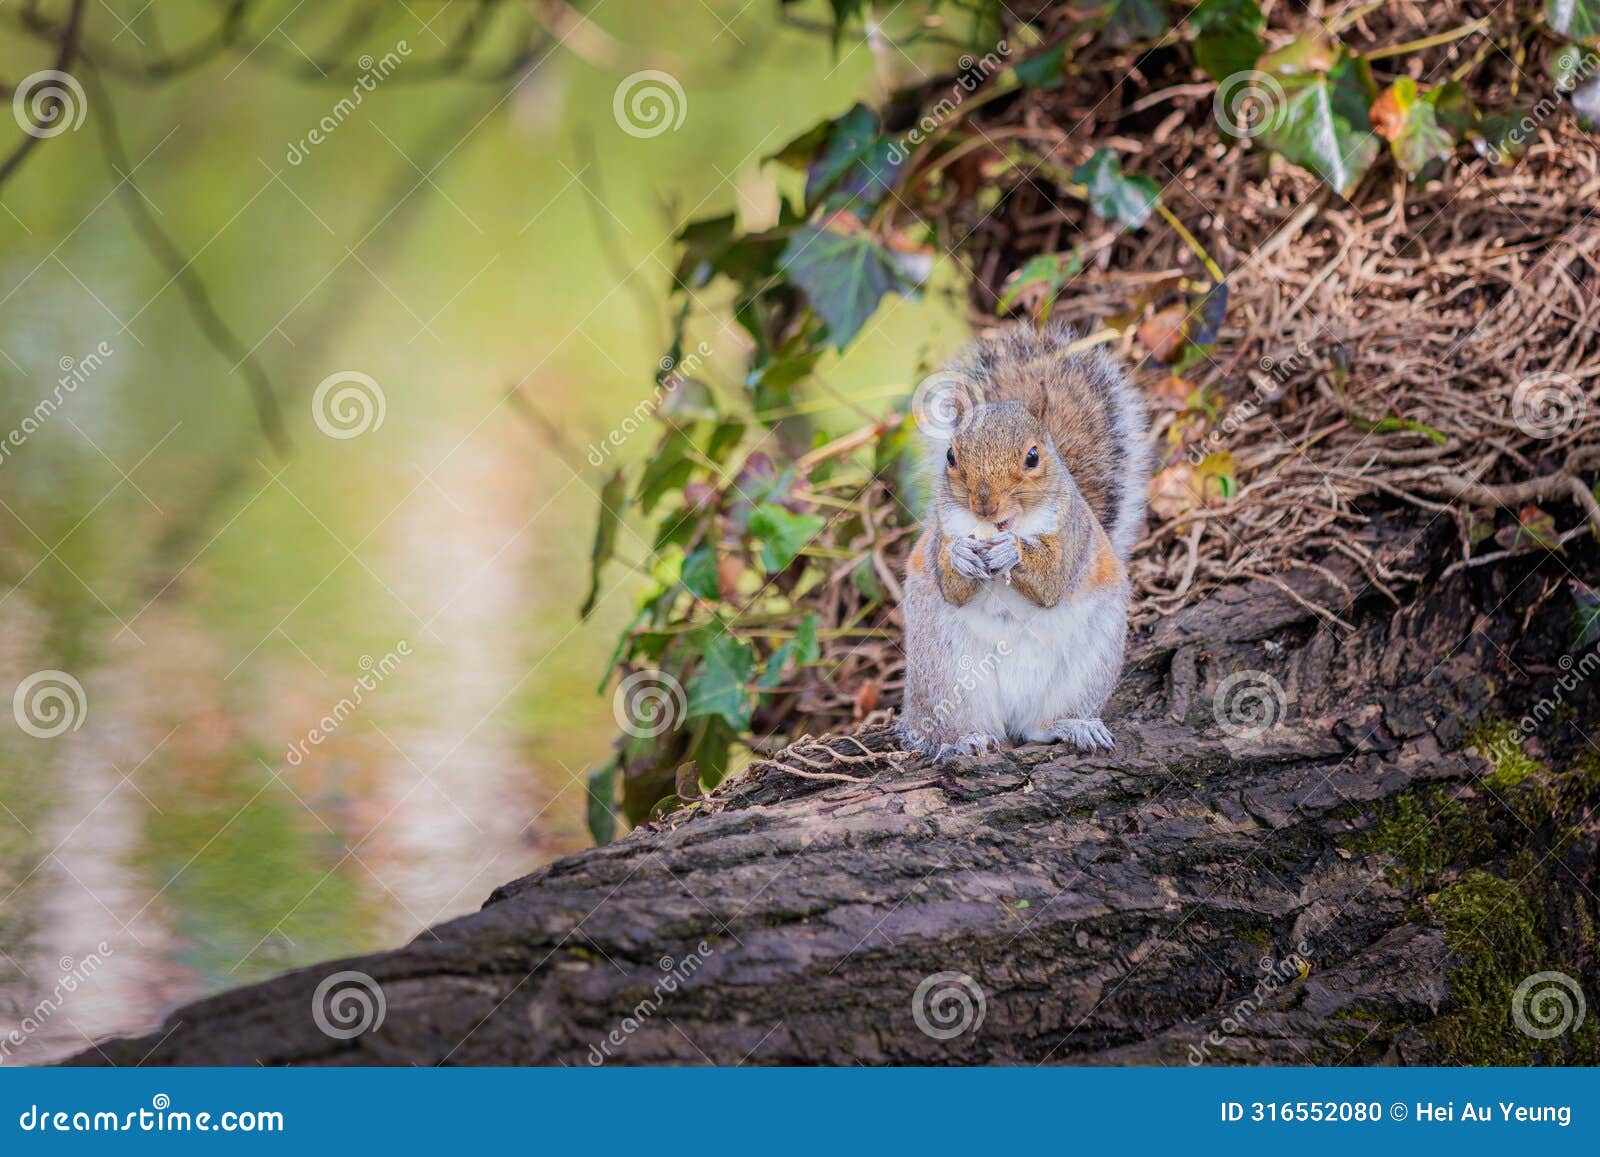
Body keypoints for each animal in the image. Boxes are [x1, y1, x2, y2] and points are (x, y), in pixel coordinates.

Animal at [898, 324, 1151, 762]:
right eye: (950, 456)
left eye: (1033, 457)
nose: (984, 504)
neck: (1006, 525)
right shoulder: (941, 532)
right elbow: (950, 584)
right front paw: (962, 555)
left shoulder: (1073, 533)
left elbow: (1051, 582)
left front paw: (1011, 552)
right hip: (946, 674)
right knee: (963, 725)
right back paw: (963, 740)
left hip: (1086, 667)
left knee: (1039, 727)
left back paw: (1073, 726)